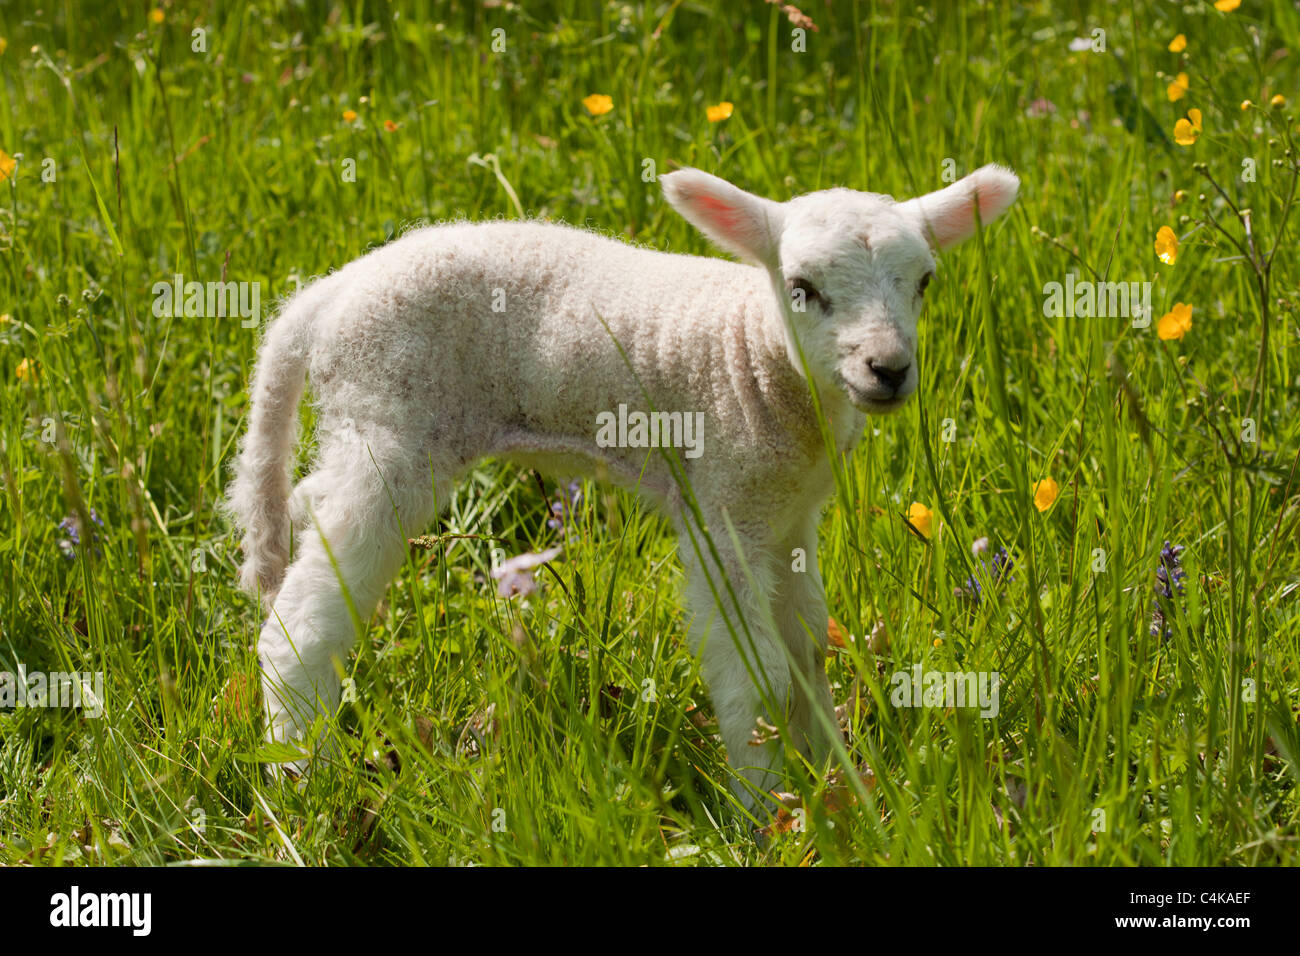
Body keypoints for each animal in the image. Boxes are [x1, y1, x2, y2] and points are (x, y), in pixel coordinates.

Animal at [226, 164, 1020, 812]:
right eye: (803, 289)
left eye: (924, 283)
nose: (888, 369)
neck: (754, 353)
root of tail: (325, 297)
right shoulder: (724, 505)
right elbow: (756, 672)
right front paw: (767, 811)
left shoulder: (789, 512)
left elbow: (806, 650)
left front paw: (833, 778)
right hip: (389, 423)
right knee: (302, 622)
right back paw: (304, 780)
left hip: (361, 425)